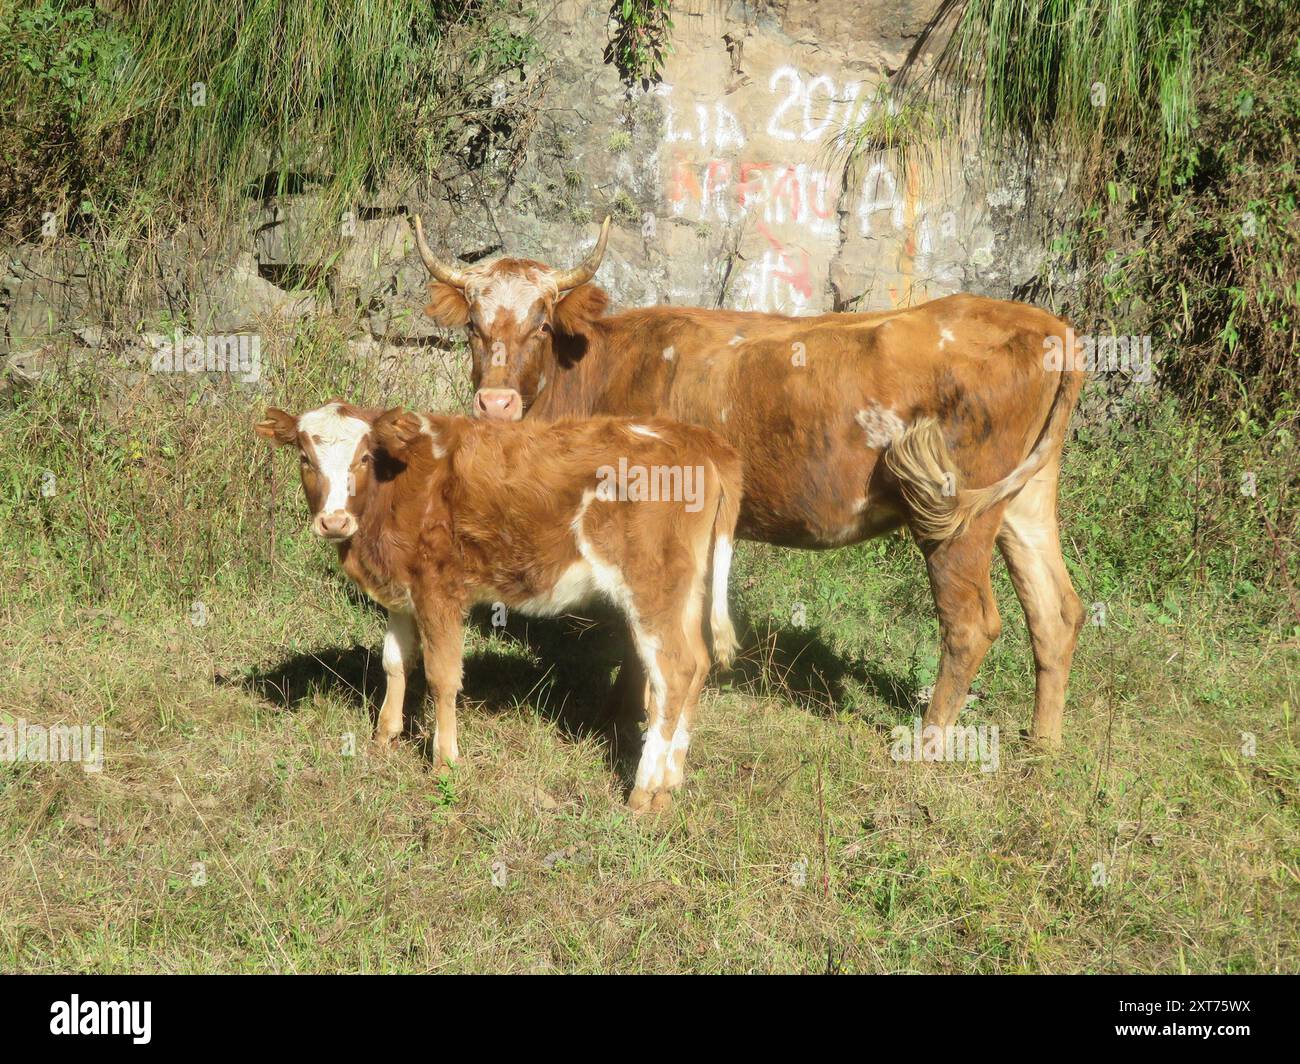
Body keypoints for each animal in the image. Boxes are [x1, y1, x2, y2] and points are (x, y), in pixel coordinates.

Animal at [256, 403, 743, 812]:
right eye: (305, 459)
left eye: (362, 459)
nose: (334, 521)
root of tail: (698, 439)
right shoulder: (402, 590)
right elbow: (395, 661)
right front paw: (384, 738)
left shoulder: (439, 588)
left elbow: (441, 676)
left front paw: (445, 762)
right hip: (685, 589)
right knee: (697, 665)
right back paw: (668, 786)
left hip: (651, 587)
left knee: (673, 674)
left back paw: (642, 794)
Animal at [411, 215, 1088, 748]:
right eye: (473, 326)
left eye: (542, 325)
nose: (496, 403)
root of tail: (1048, 326)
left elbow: (645, 630)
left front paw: (623, 718)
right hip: (1023, 499)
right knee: (1055, 609)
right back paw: (1044, 745)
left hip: (955, 514)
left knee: (971, 623)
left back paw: (926, 748)